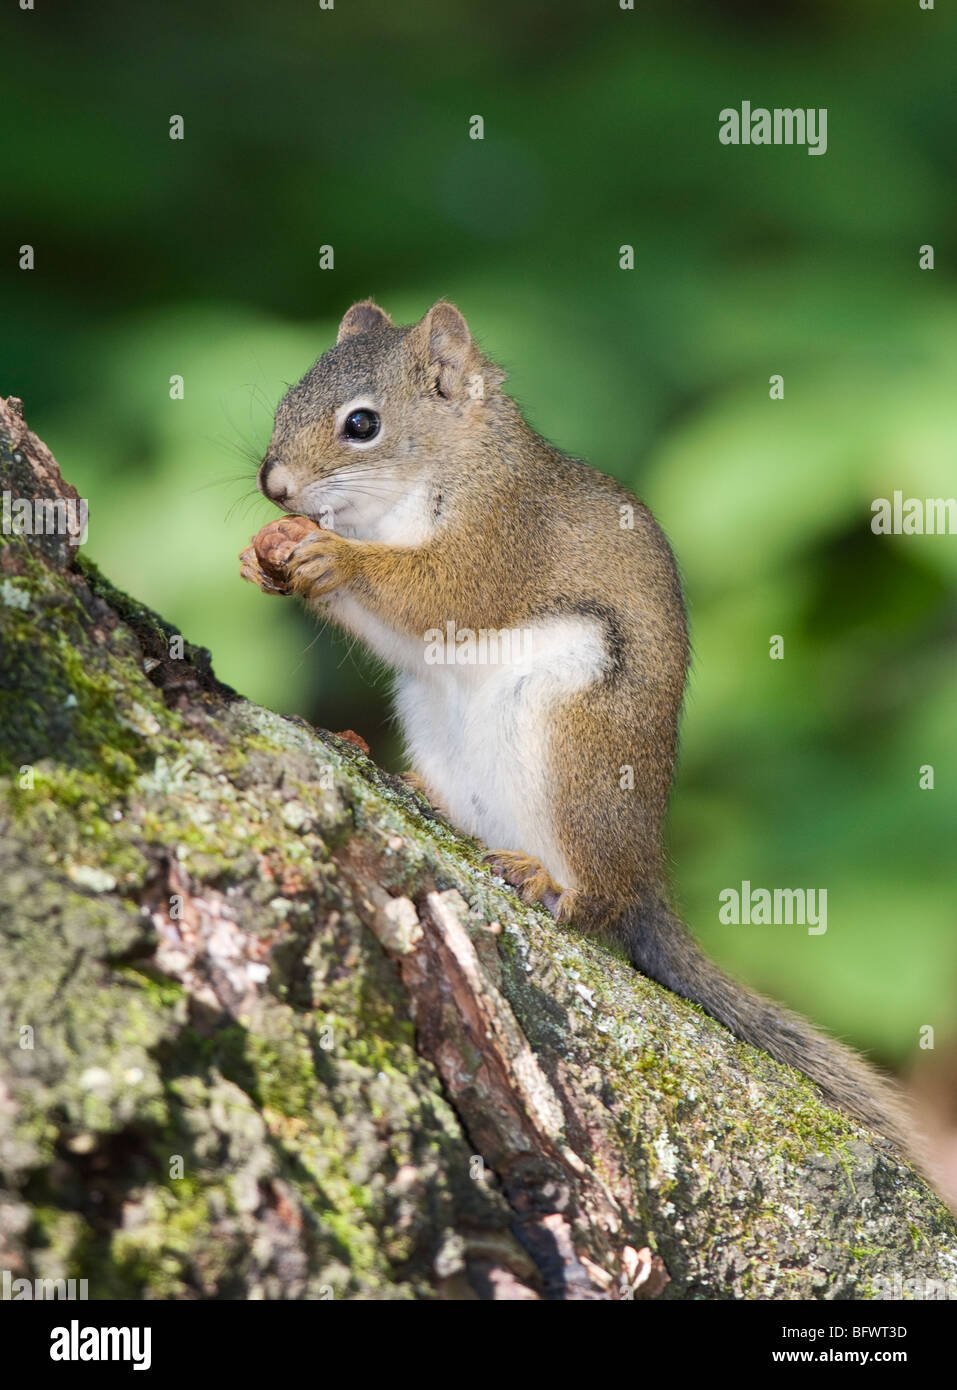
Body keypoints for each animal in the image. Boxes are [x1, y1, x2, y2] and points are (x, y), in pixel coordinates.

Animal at [237, 296, 912, 1162]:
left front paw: (334, 558)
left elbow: (440, 596)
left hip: (577, 747)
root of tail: (645, 869)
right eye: (288, 397)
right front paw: (265, 555)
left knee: (598, 908)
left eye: (362, 424)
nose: (273, 485)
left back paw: (552, 885)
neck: (446, 469)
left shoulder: (502, 540)